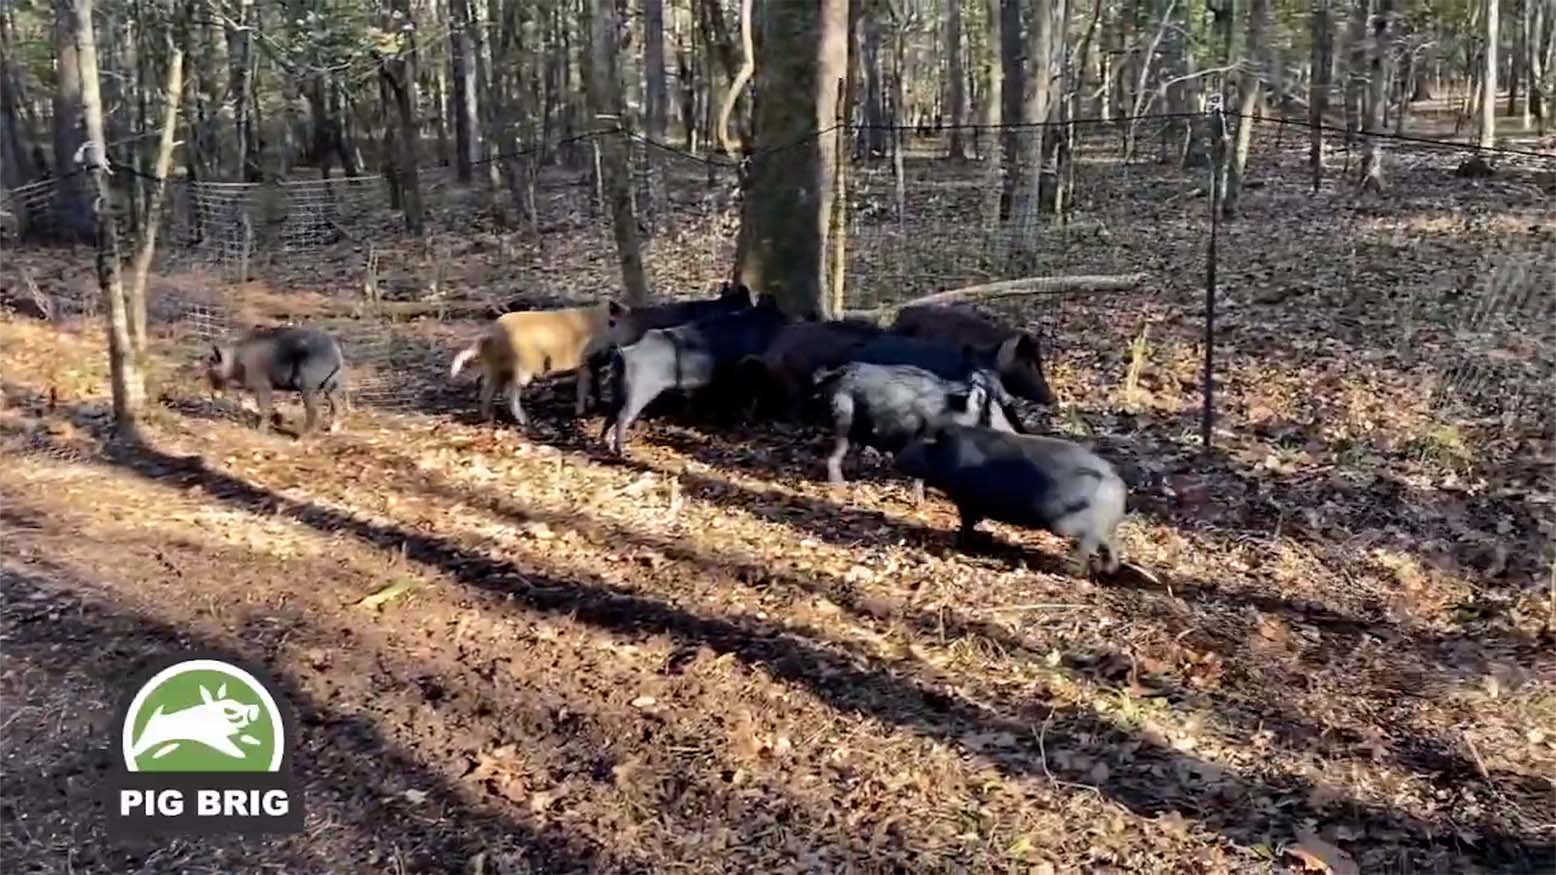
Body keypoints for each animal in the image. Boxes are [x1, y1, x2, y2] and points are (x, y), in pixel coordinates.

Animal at [206, 325, 350, 435]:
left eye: (211, 368)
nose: (212, 394)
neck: (235, 359)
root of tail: (336, 351)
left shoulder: (263, 386)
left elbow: (264, 409)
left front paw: (261, 431)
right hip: (332, 384)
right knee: (337, 406)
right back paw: (333, 430)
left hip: (307, 385)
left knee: (314, 411)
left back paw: (303, 436)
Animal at [449, 301, 622, 426]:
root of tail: (491, 333)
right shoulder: (586, 362)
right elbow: (583, 388)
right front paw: (581, 413)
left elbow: (592, 386)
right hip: (522, 367)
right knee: (510, 393)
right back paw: (524, 421)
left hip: (495, 368)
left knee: (488, 390)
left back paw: (489, 417)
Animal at [604, 295, 790, 454]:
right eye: (779, 315)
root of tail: (623, 354)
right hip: (639, 391)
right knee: (623, 416)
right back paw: (622, 452)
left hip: (619, 389)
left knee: (611, 413)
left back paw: (605, 443)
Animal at [815, 362, 1017, 486]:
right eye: (988, 405)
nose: (1009, 399)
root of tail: (839, 372)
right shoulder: (925, 435)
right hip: (843, 415)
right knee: (836, 452)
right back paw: (839, 484)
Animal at [895, 423, 1126, 575]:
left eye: (918, 442)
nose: (897, 458)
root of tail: (1114, 483)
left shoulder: (966, 499)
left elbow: (968, 522)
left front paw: (962, 542)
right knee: (1109, 542)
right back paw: (1107, 569)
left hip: (1063, 521)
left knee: (1091, 539)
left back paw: (1071, 570)